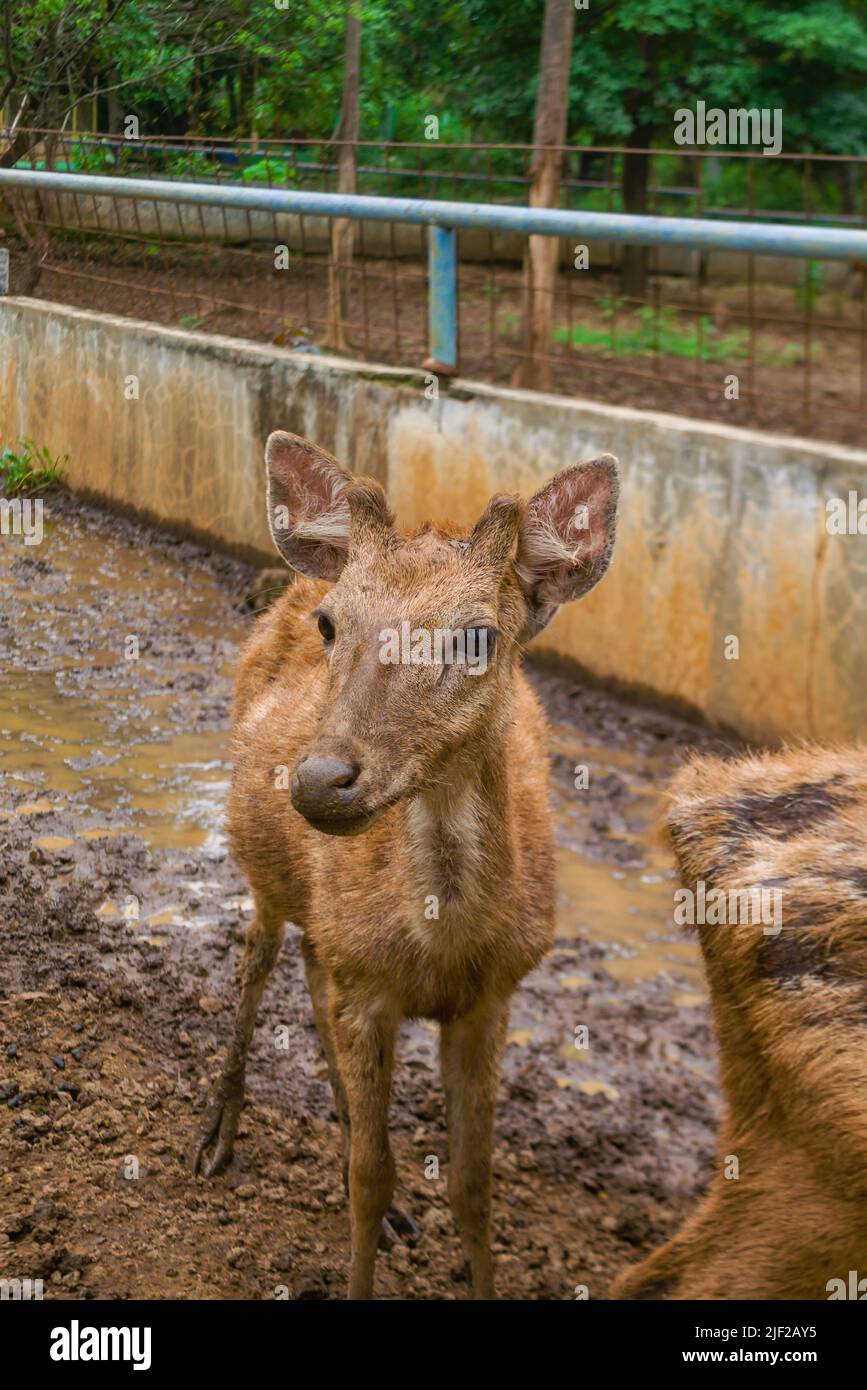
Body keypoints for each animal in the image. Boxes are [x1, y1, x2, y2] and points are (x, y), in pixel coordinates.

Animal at [191, 430, 619, 1299]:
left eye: (479, 635)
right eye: (331, 624)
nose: (321, 779)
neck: (440, 944)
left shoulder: (492, 997)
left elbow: (472, 1185)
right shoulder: (367, 986)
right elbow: (372, 1176)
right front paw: (364, 1234)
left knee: (310, 973)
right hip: (260, 863)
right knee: (257, 959)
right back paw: (217, 1134)